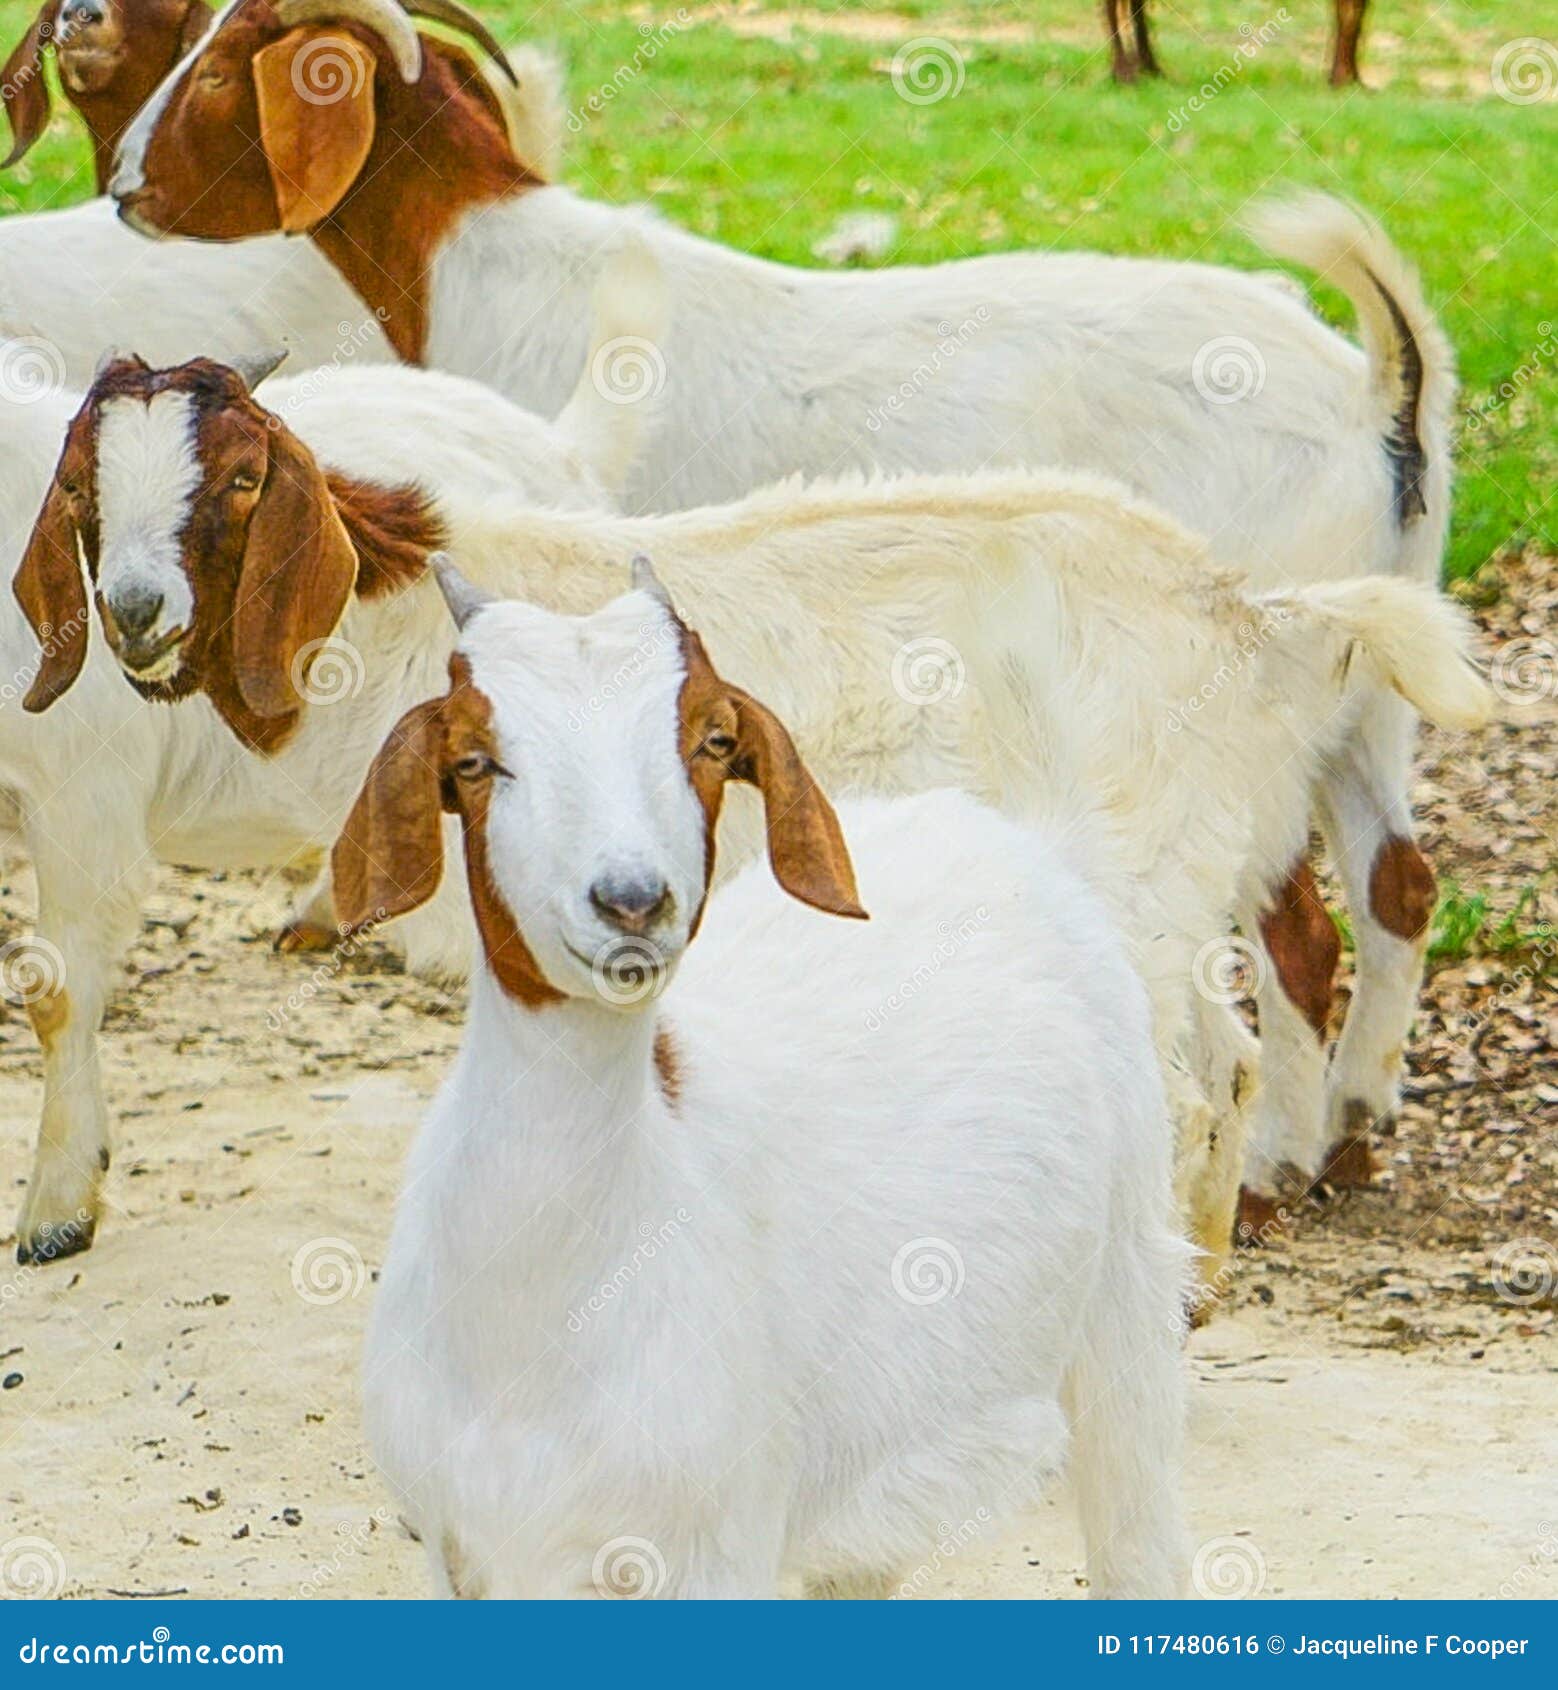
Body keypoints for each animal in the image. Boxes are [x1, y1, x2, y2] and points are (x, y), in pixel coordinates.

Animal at [9, 354, 1491, 1282]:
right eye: (88, 494)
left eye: (239, 483)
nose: (135, 616)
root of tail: (1250, 615)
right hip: (1169, 883)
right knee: (1222, 1059)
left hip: (1142, 878)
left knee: (1193, 1077)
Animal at [346, 558, 1192, 1601]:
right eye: (472, 760)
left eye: (714, 740)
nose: (632, 901)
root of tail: (1028, 837)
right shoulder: (457, 1551)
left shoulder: (722, 1538)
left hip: (1129, 1281)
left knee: (1139, 1525)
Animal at [1103, 2, 1370, 87]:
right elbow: (1349, 15)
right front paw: (1344, 80)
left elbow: (1352, 16)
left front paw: (1351, 78)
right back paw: (1125, 73)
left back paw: (1150, 68)